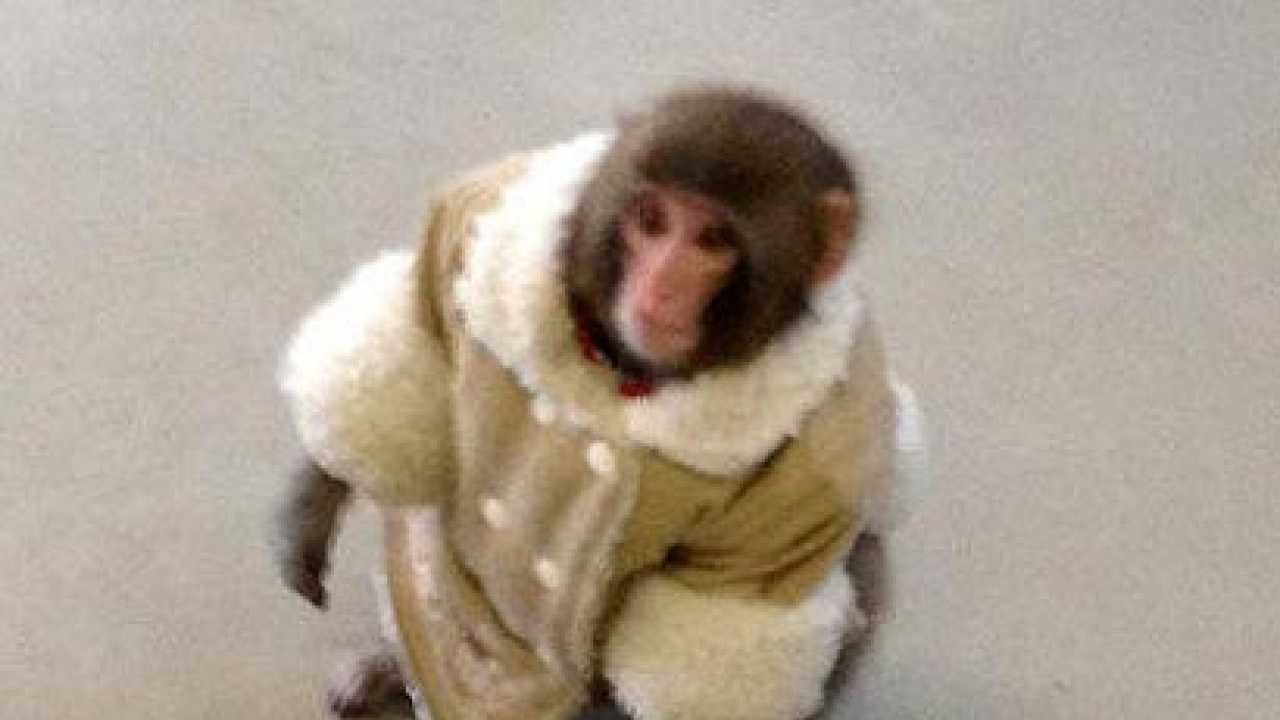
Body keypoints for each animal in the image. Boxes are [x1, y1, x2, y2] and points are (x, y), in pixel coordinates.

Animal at [275, 85, 927, 720]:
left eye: (713, 240)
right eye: (653, 221)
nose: (658, 285)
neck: (621, 368)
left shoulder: (819, 477)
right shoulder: (470, 223)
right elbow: (417, 345)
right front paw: (314, 498)